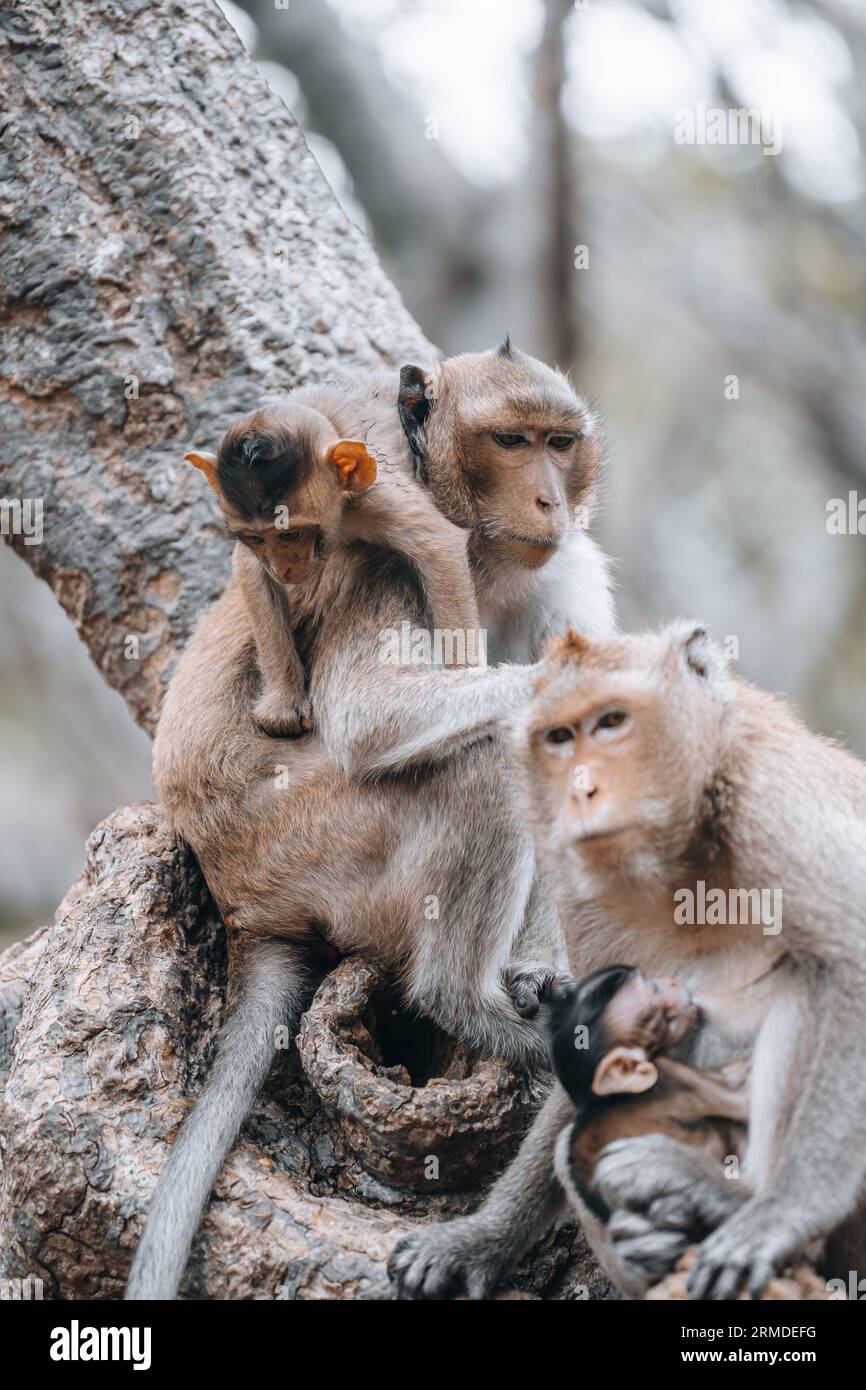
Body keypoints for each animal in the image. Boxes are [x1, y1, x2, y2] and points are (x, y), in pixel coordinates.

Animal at [185, 393, 481, 735]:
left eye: (290, 534)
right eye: (256, 538)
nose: (282, 569)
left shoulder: (373, 499)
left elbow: (438, 545)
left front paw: (467, 681)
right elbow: (251, 570)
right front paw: (284, 703)